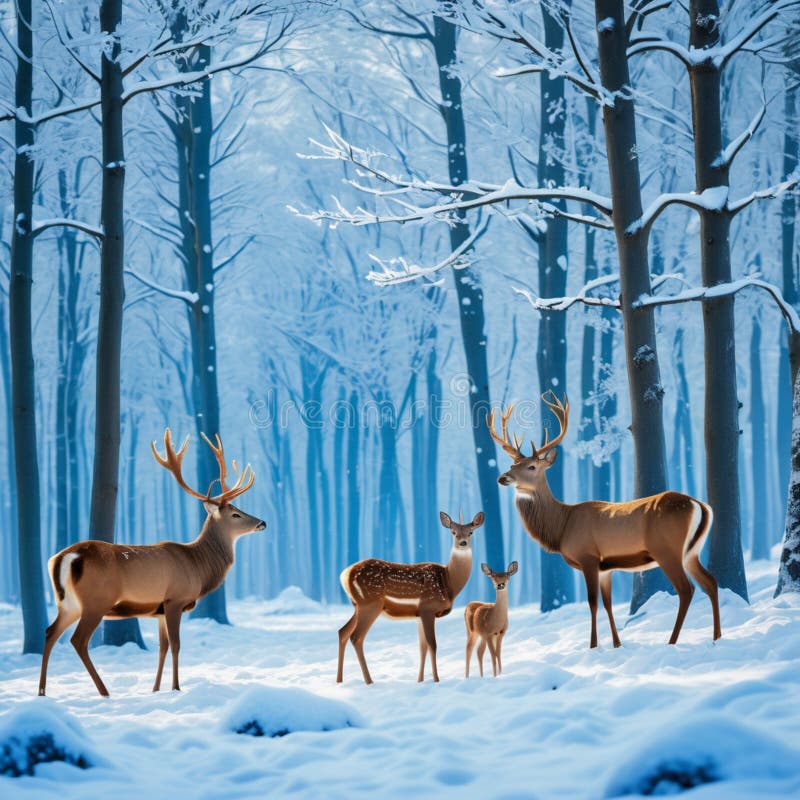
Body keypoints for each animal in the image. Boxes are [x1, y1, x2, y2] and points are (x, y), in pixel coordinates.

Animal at [38, 429, 266, 698]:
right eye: (235, 514)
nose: (262, 522)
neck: (197, 567)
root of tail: (65, 557)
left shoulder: (158, 610)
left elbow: (162, 647)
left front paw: (156, 689)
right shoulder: (175, 598)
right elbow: (176, 645)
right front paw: (176, 687)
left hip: (68, 603)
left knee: (50, 632)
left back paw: (41, 691)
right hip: (95, 600)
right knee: (78, 640)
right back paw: (104, 691)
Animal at [337, 510, 484, 684]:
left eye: (471, 532)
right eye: (453, 532)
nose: (463, 543)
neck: (448, 582)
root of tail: (345, 574)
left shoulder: (419, 614)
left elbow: (422, 647)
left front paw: (420, 680)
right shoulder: (428, 608)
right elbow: (432, 644)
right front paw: (436, 680)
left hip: (358, 605)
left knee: (343, 631)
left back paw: (339, 680)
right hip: (370, 603)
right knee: (356, 637)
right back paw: (369, 681)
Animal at [488, 392, 721, 649]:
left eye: (531, 466)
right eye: (512, 464)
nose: (503, 478)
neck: (562, 526)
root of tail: (699, 504)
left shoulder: (588, 556)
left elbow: (592, 603)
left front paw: (593, 645)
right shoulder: (605, 568)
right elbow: (608, 604)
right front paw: (617, 644)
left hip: (667, 549)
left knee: (686, 589)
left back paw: (672, 641)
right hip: (691, 551)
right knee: (711, 582)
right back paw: (716, 637)